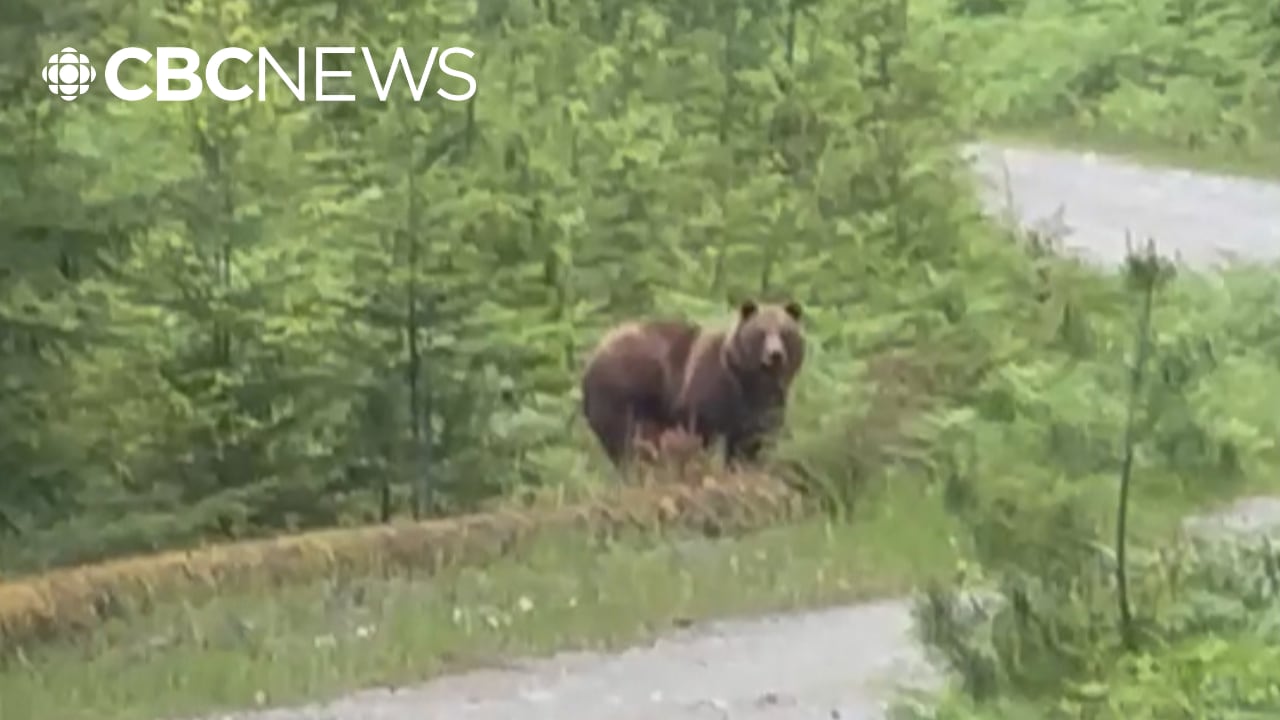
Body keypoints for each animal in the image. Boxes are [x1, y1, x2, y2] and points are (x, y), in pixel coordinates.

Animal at [579, 299, 805, 470]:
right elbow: (703, 431)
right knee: (626, 442)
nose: (775, 355)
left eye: (785, 332)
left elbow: (753, 440)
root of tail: (593, 356)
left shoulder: (766, 404)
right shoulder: (709, 391)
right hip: (623, 392)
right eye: (761, 332)